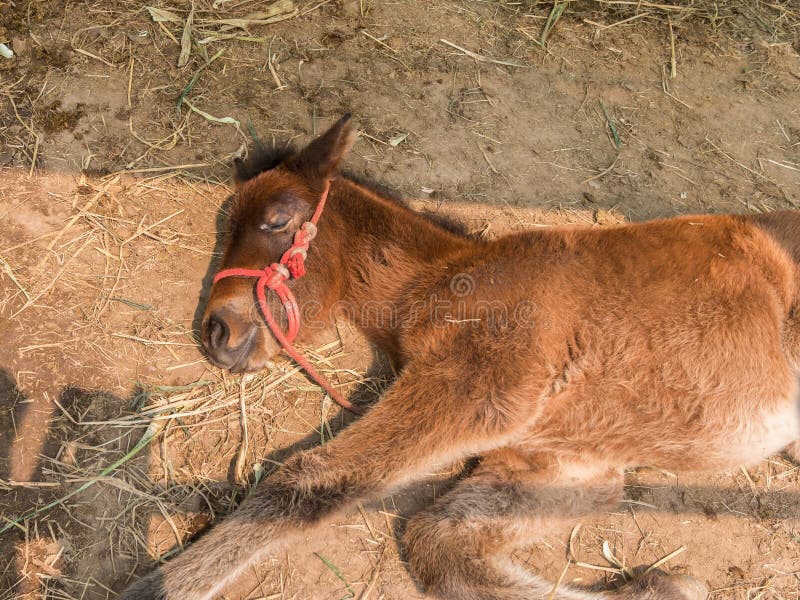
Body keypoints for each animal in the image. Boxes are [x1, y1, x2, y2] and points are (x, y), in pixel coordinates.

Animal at [121, 114, 800, 600]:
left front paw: (156, 586)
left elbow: (305, 484)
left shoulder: (479, 387)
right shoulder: (565, 461)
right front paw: (665, 586)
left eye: (278, 219)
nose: (215, 331)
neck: (446, 278)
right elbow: (439, 544)